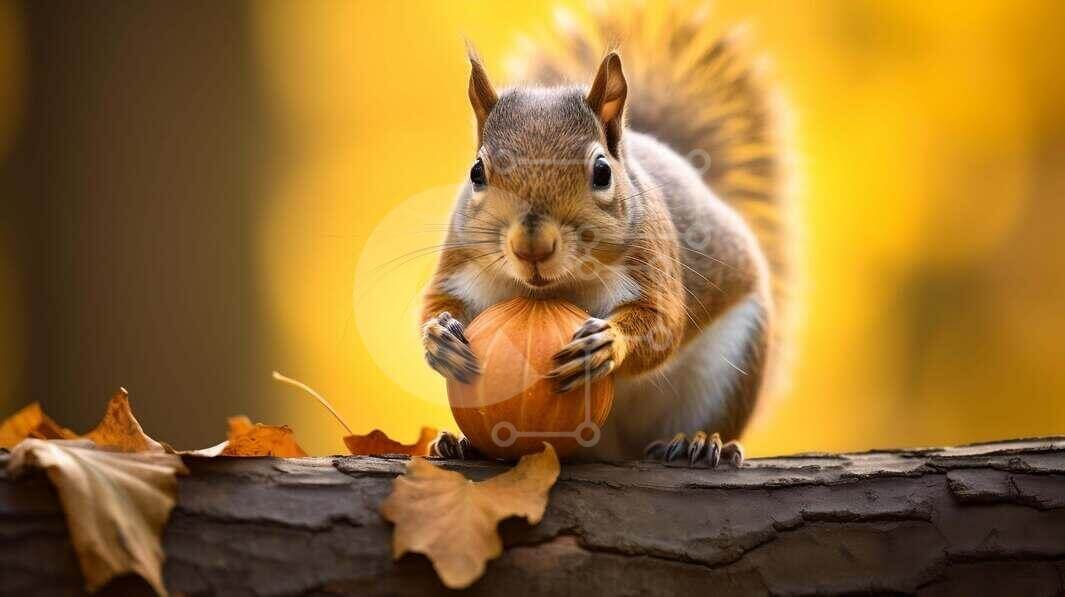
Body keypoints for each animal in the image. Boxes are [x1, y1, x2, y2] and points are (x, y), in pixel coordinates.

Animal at [422, 4, 788, 466]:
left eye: (601, 172)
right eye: (476, 172)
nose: (531, 247)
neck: (551, 288)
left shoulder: (651, 261)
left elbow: (662, 324)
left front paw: (608, 342)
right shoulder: (459, 263)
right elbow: (436, 303)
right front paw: (439, 338)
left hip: (730, 363)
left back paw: (703, 443)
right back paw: (460, 442)